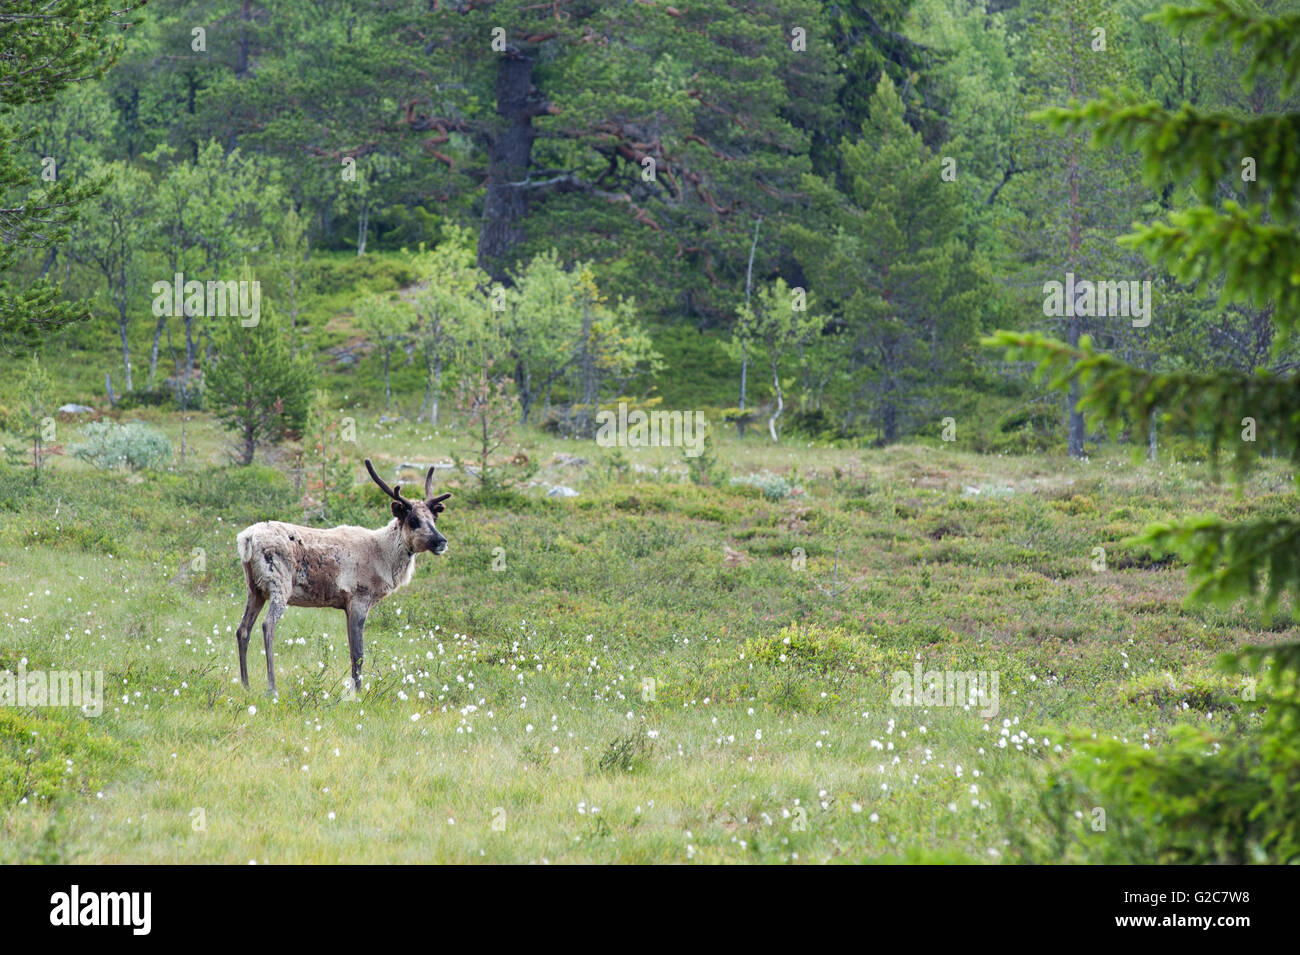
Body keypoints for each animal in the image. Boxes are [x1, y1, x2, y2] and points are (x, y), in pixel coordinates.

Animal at [234, 459, 451, 695]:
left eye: (434, 518)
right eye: (413, 519)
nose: (442, 541)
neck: (384, 556)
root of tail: (247, 538)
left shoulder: (346, 605)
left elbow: (351, 651)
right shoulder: (359, 597)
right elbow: (359, 653)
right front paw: (358, 692)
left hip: (254, 588)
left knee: (242, 629)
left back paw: (245, 684)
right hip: (278, 585)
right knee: (268, 625)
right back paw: (271, 687)